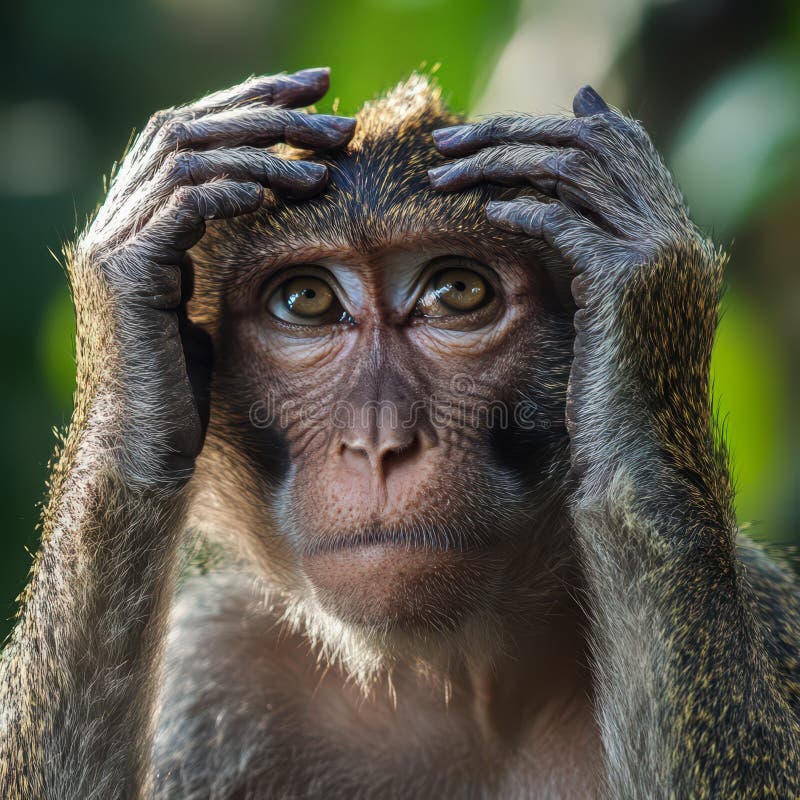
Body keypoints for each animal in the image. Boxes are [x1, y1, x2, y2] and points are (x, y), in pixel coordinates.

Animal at [1, 63, 799, 799]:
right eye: (307, 299)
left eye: (459, 291)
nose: (379, 444)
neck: (466, 689)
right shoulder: (217, 666)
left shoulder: (773, 615)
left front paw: (639, 291)